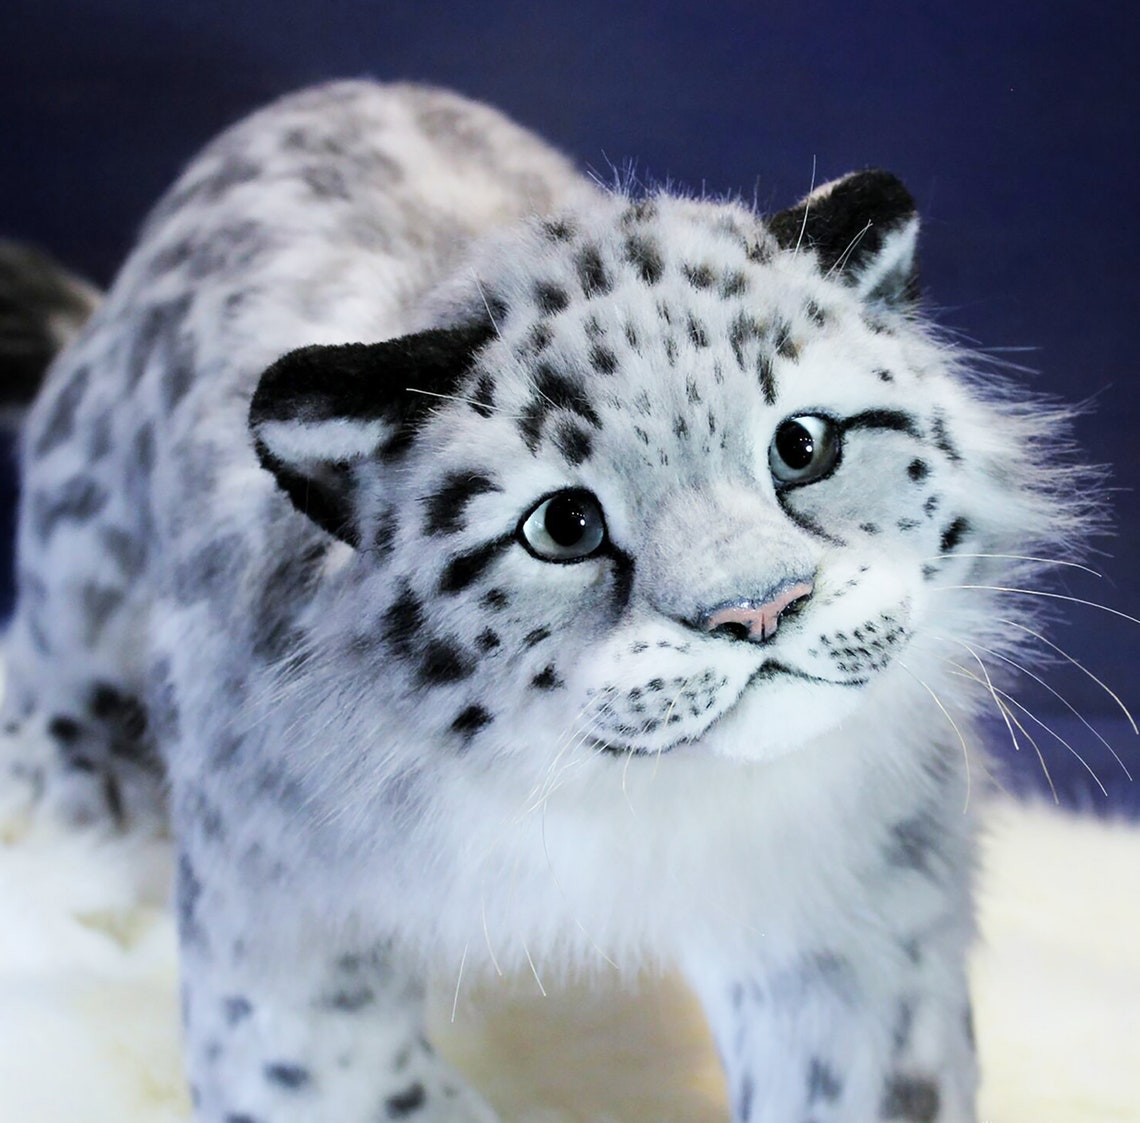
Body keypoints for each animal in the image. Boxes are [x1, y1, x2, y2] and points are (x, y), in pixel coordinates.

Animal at [0, 80, 1095, 1122]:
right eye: (564, 523)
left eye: (802, 444)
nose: (758, 610)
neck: (642, 813)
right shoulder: (273, 904)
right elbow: (334, 1074)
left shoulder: (864, 912)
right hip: (79, 525)